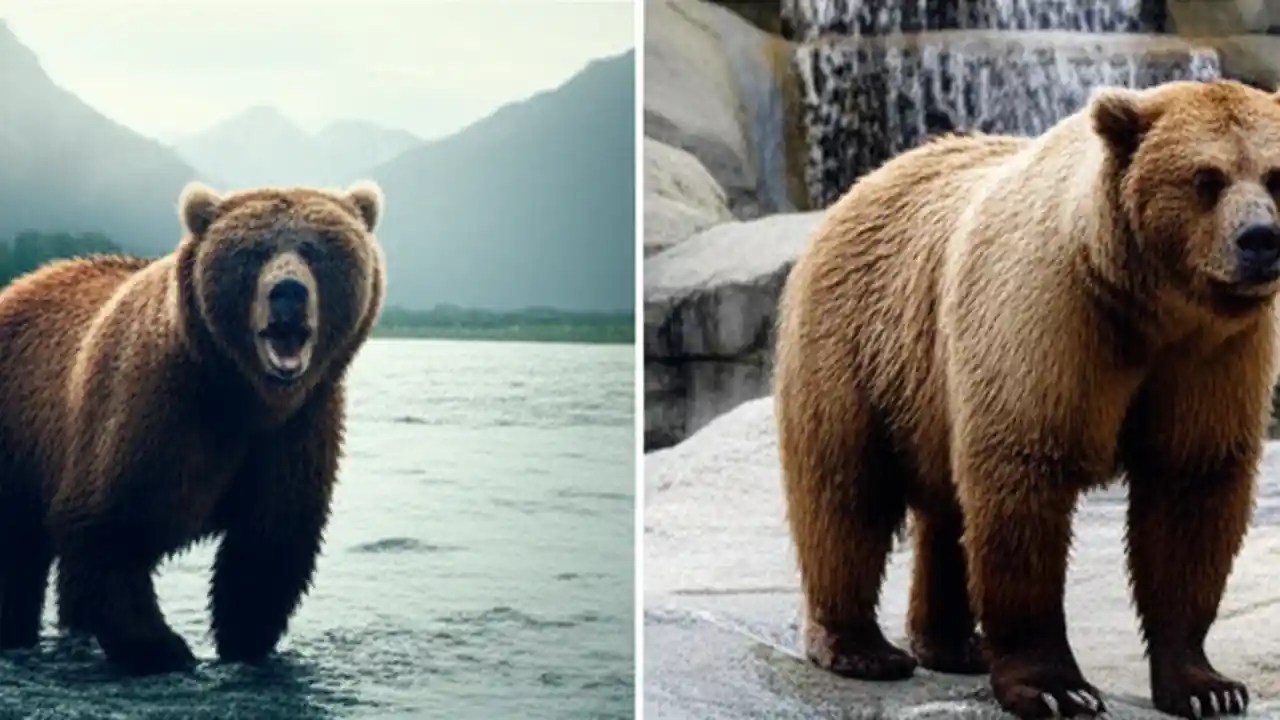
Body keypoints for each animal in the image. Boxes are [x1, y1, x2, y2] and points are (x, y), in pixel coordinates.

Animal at [0, 181, 386, 675]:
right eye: (254, 251)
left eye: (315, 249)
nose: (288, 293)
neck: (245, 394)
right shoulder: (153, 408)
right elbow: (107, 525)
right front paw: (162, 649)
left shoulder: (298, 430)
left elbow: (268, 547)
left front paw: (244, 644)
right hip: (19, 434)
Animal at [774, 79, 1280, 719]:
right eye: (1206, 178)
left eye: (1276, 175)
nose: (1260, 239)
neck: (1148, 306)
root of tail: (864, 183)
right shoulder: (1048, 319)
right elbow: (1024, 487)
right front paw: (1057, 687)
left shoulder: (1213, 357)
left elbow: (1191, 492)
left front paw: (1207, 686)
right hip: (859, 344)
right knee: (845, 492)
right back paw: (860, 647)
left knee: (945, 511)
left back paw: (951, 643)